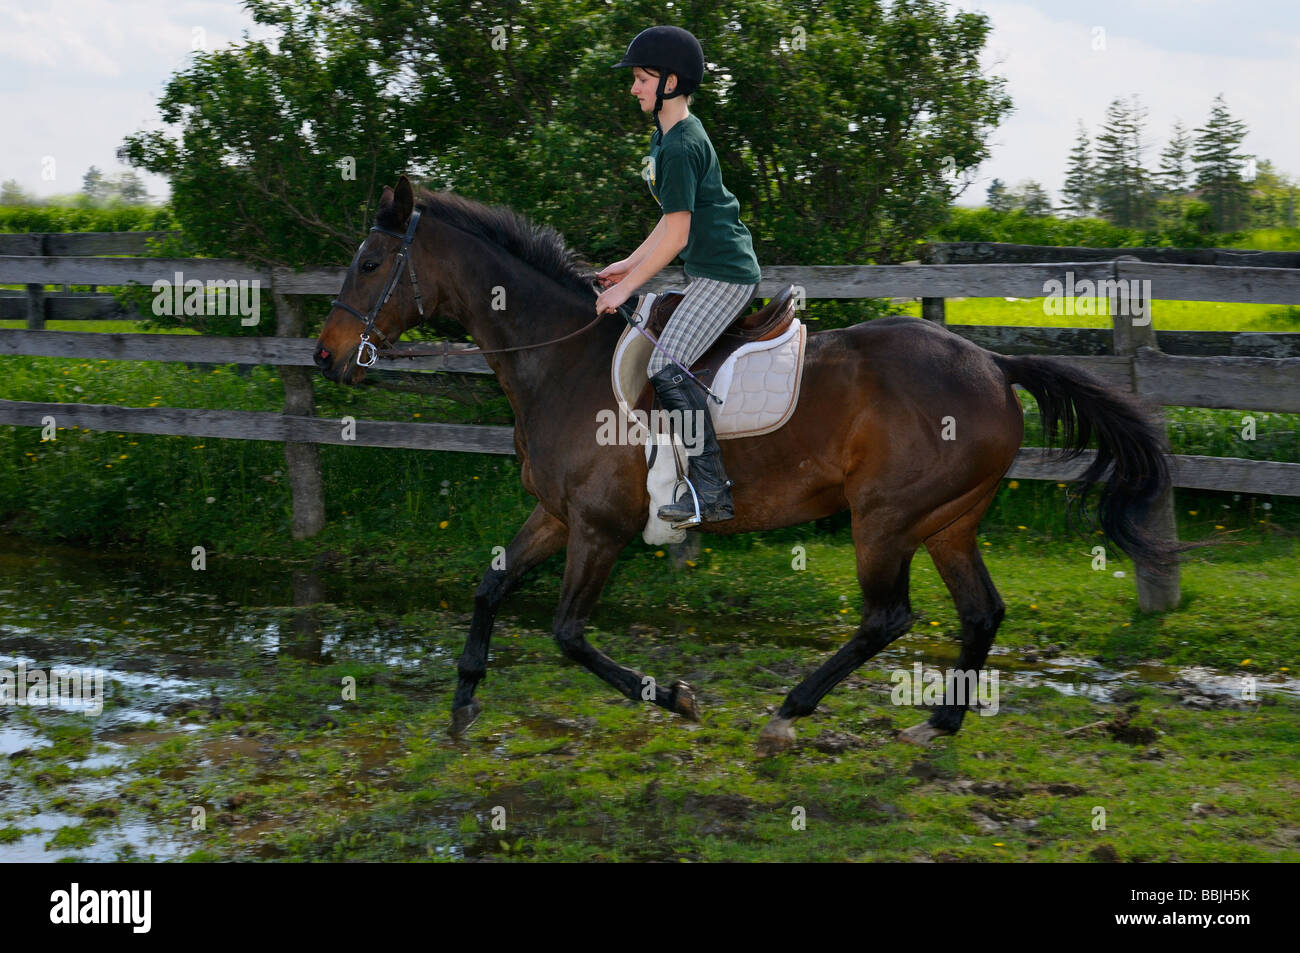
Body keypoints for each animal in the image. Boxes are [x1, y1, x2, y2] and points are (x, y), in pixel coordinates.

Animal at [314, 175, 1192, 750]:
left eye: (368, 264)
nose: (326, 358)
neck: (560, 360)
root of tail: (995, 363)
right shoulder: (558, 514)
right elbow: (490, 585)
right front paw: (463, 701)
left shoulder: (598, 528)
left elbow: (567, 634)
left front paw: (675, 698)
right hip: (949, 519)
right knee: (981, 610)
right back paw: (939, 720)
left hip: (884, 518)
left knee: (887, 617)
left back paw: (790, 710)